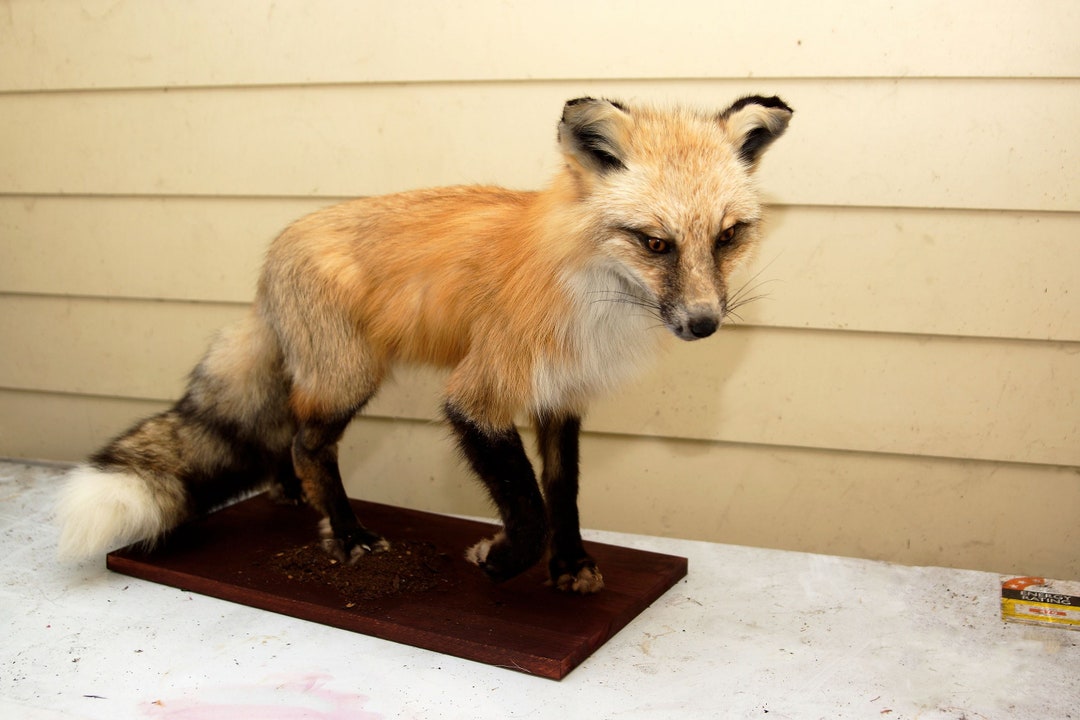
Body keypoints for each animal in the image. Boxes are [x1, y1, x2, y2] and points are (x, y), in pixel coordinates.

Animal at [56, 95, 792, 594]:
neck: (591, 293)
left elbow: (563, 494)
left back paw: (291, 496)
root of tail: (270, 258)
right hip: (349, 378)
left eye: (727, 236)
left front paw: (570, 563)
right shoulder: (479, 395)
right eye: (655, 243)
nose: (703, 322)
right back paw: (344, 532)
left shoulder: (560, 395)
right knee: (307, 441)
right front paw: (502, 561)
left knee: (285, 432)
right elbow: (527, 508)